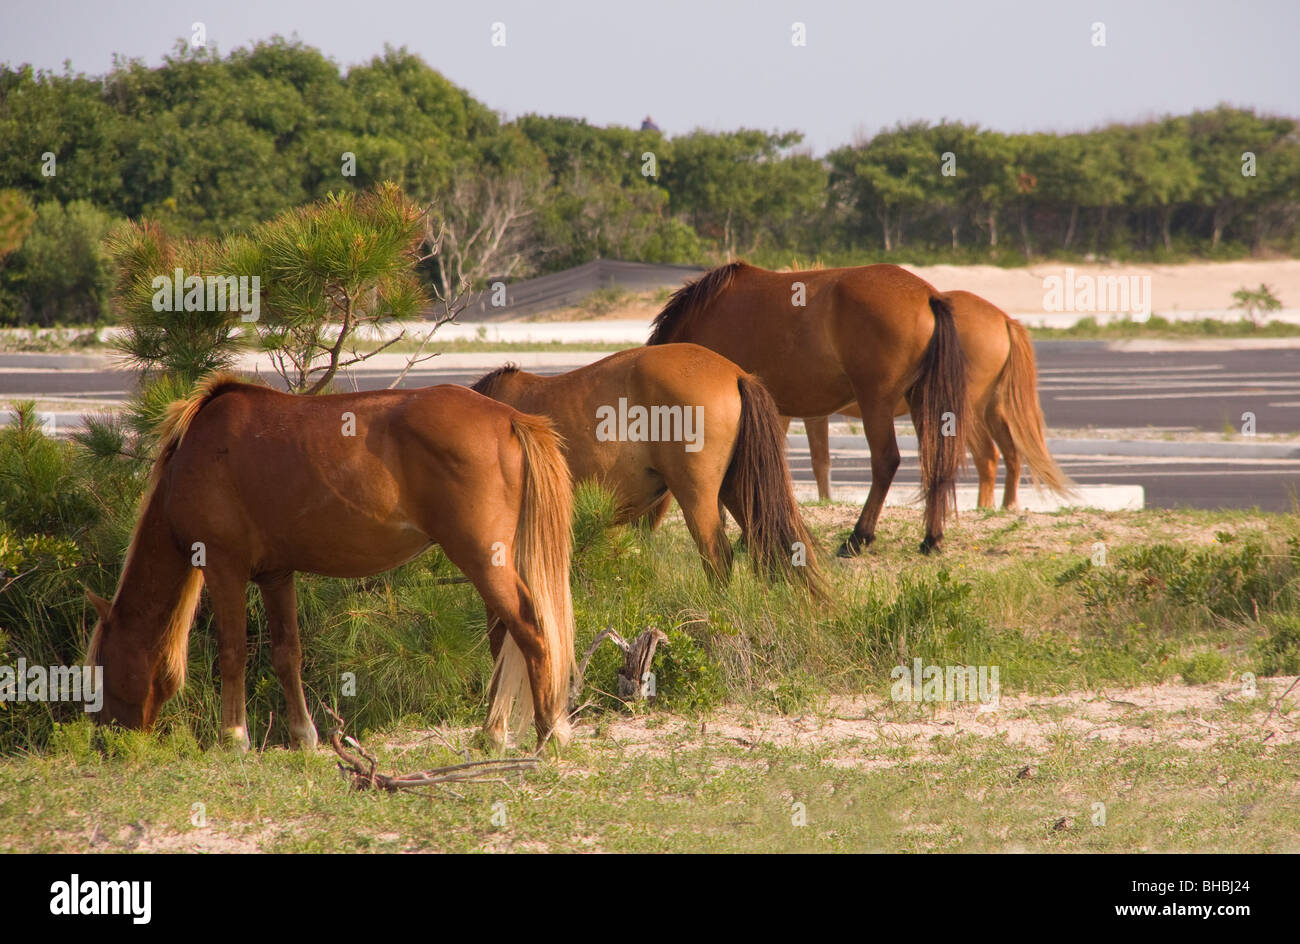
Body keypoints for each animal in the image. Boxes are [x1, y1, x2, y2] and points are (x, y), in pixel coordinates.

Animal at [85, 372, 577, 751]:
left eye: (102, 666)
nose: (107, 738)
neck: (194, 458)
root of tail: (508, 418)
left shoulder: (224, 568)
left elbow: (233, 653)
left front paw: (234, 738)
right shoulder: (275, 576)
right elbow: (287, 654)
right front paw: (303, 736)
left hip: (482, 560)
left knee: (532, 632)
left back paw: (549, 733)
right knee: (505, 639)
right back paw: (494, 734)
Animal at [648, 262, 969, 556]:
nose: (640, 530)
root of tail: (928, 296)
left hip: (875, 402)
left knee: (885, 462)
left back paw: (858, 537)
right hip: (919, 400)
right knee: (934, 459)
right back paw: (931, 539)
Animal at [793, 290, 1073, 508]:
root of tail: (1002, 318)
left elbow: (815, 460)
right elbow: (820, 460)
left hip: (965, 412)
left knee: (987, 456)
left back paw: (983, 508)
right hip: (992, 409)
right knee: (1012, 452)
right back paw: (1008, 506)